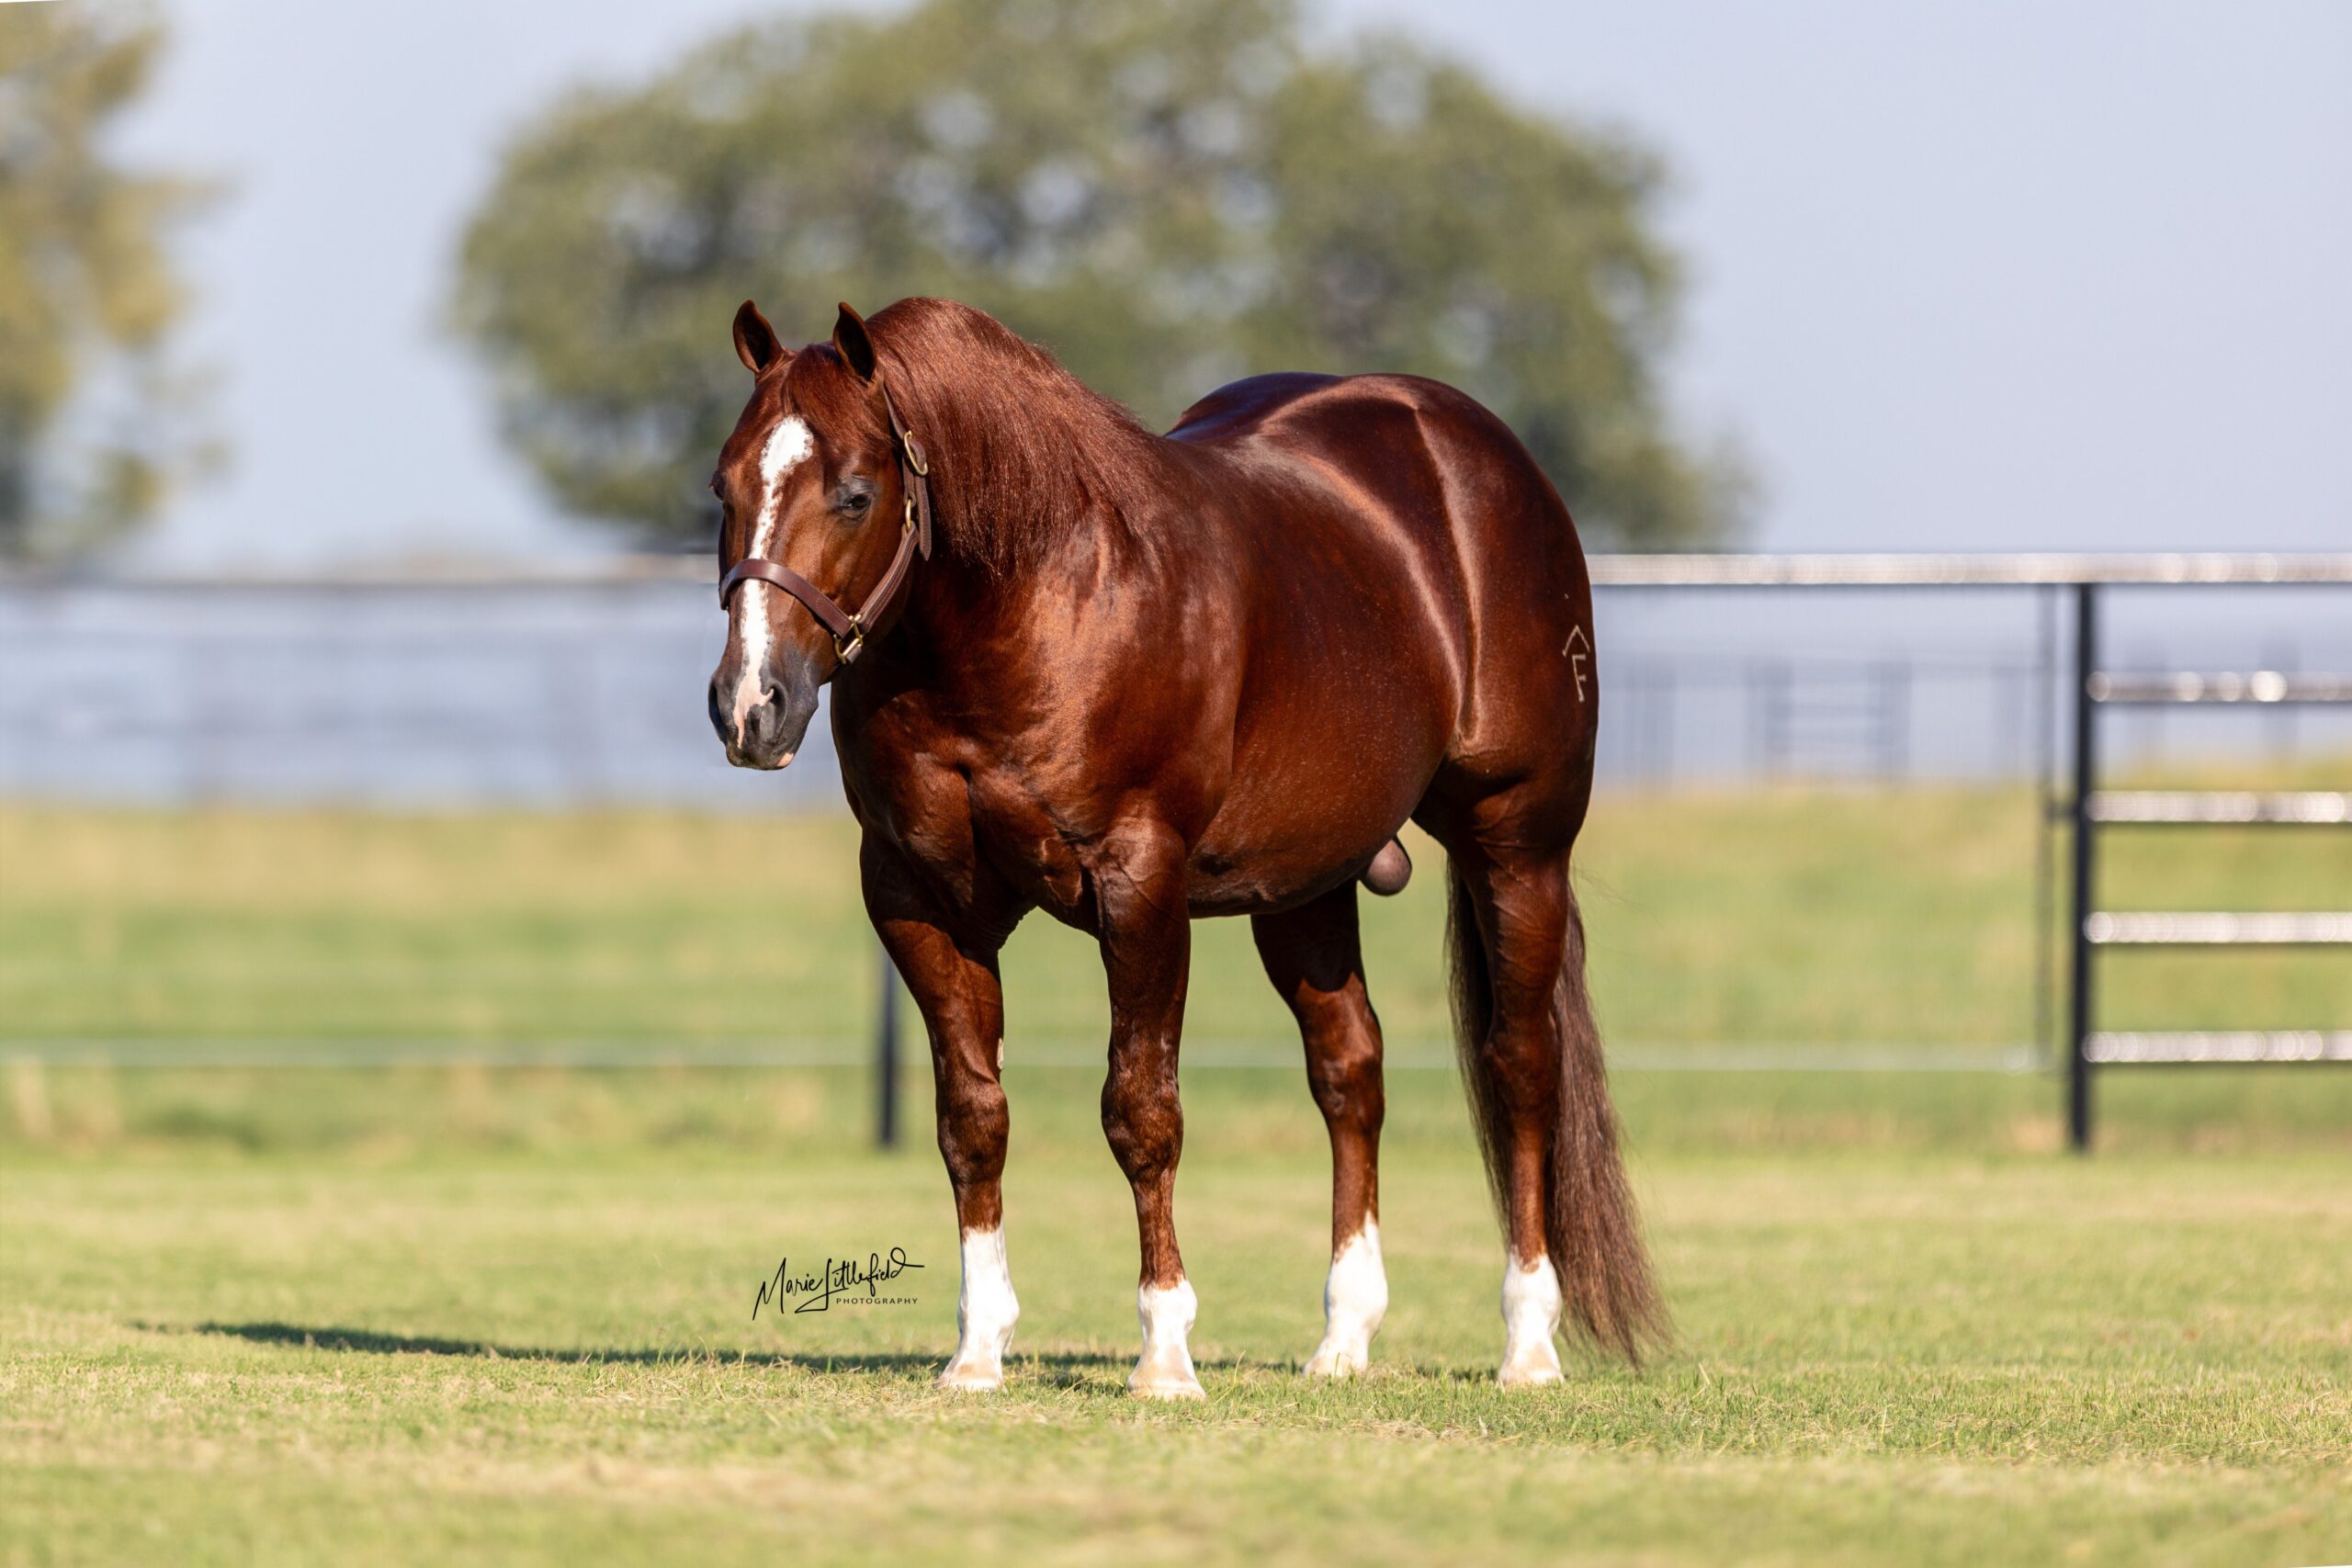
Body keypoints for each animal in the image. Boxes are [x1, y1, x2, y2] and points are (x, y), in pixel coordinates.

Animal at [707, 296, 1661, 1396]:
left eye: (856, 494)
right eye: (723, 485)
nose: (751, 706)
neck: (1038, 599)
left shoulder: (1141, 886)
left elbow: (1141, 1110)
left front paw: (1164, 1353)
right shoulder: (917, 897)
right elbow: (971, 1119)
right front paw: (978, 1351)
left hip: (1518, 846)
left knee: (1521, 1064)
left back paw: (1528, 1341)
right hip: (1306, 884)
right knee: (1350, 1072)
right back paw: (1343, 1338)